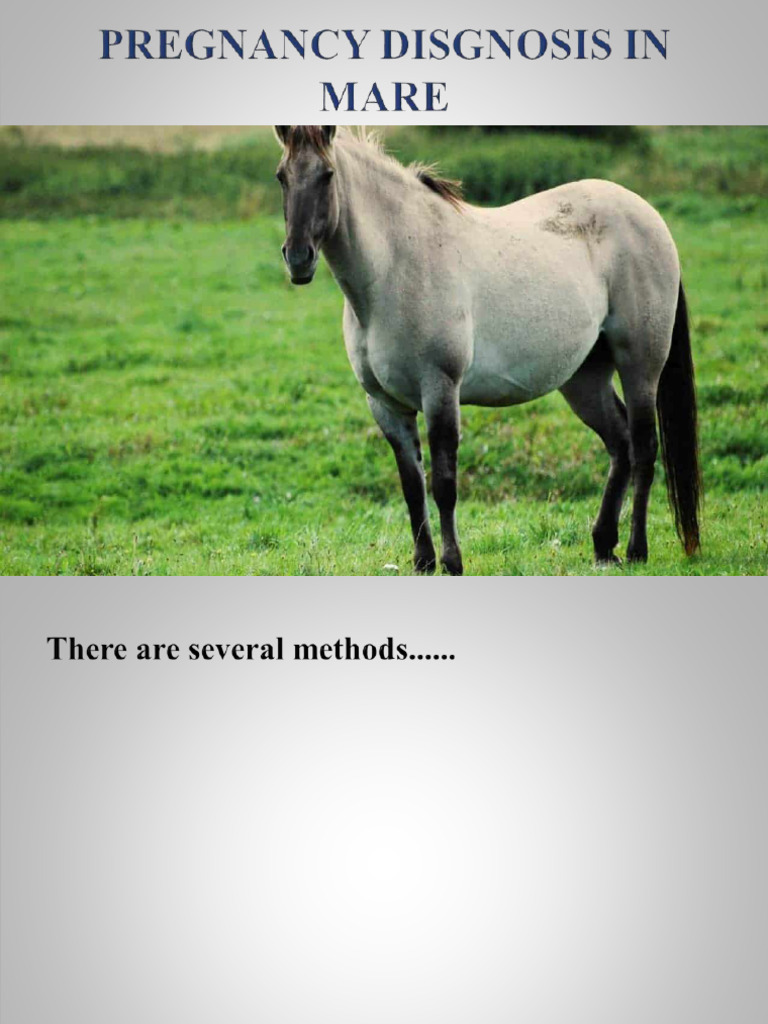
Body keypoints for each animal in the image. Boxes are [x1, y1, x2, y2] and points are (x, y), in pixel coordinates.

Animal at [273, 125, 701, 575]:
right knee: (619, 444)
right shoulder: (386, 404)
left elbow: (444, 484)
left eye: (327, 175)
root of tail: (649, 215)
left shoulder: (440, 390)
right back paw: (603, 545)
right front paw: (423, 562)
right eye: (282, 176)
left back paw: (637, 549)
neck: (396, 266)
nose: (298, 259)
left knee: (643, 448)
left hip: (641, 366)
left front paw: (452, 562)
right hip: (584, 377)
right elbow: (412, 487)